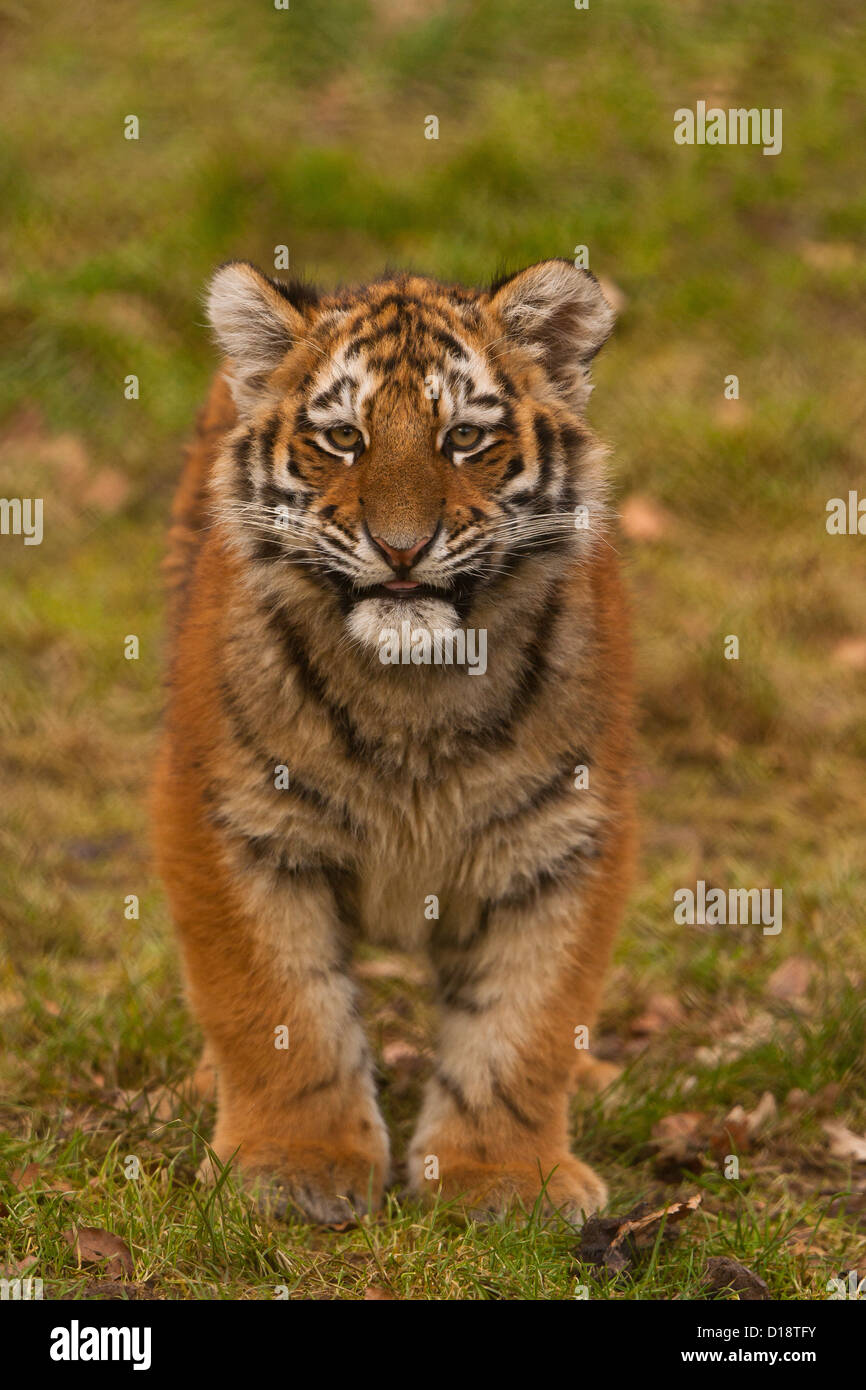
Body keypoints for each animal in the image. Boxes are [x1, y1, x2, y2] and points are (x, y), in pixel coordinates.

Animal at [152, 257, 635, 1225]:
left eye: (464, 438)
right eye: (343, 437)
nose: (402, 547)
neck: (412, 690)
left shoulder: (561, 840)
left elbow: (523, 1023)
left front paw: (505, 1177)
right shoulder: (233, 824)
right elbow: (275, 1008)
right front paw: (295, 1163)